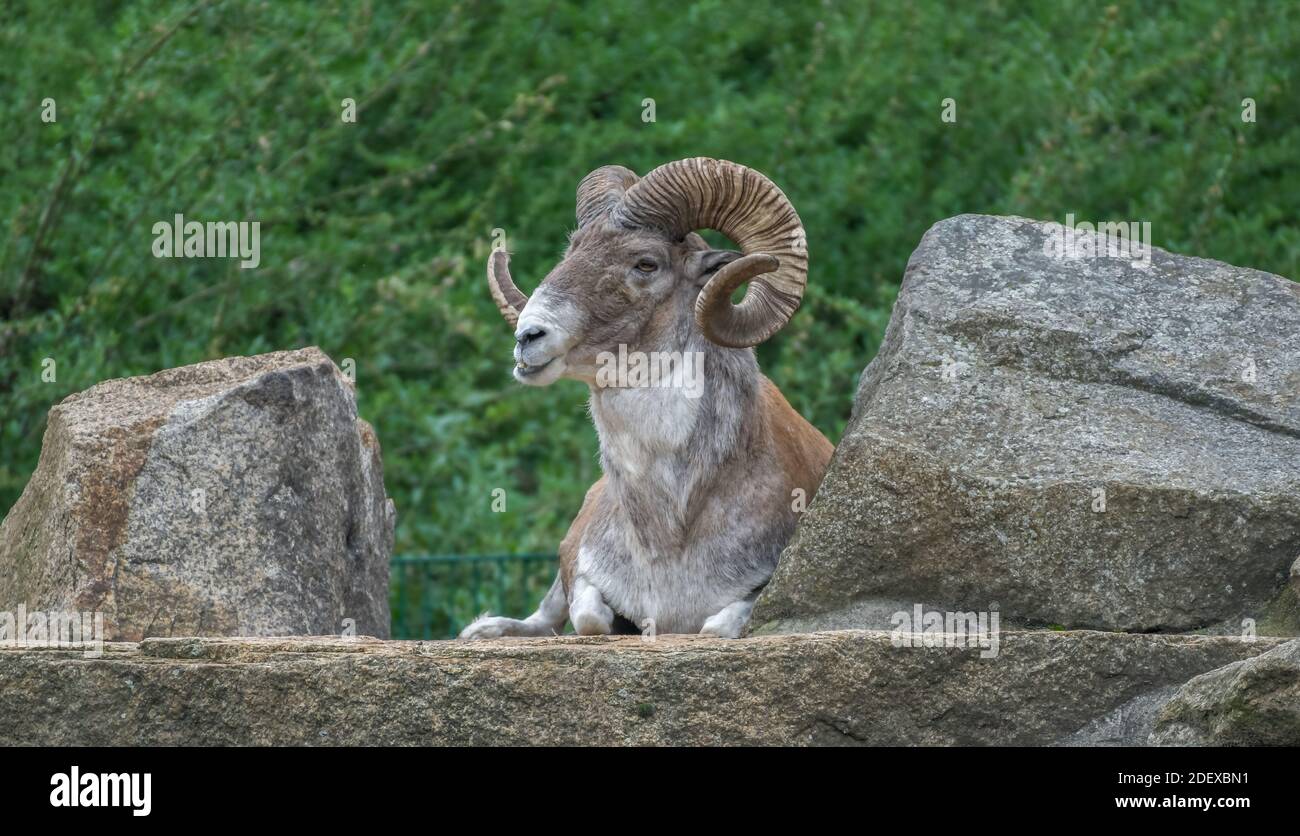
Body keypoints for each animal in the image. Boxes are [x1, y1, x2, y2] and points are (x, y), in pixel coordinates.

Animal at [460, 157, 833, 639]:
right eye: (572, 251)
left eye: (645, 263)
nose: (528, 337)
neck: (671, 533)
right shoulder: (584, 574)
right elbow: (590, 618)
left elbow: (716, 628)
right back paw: (483, 630)